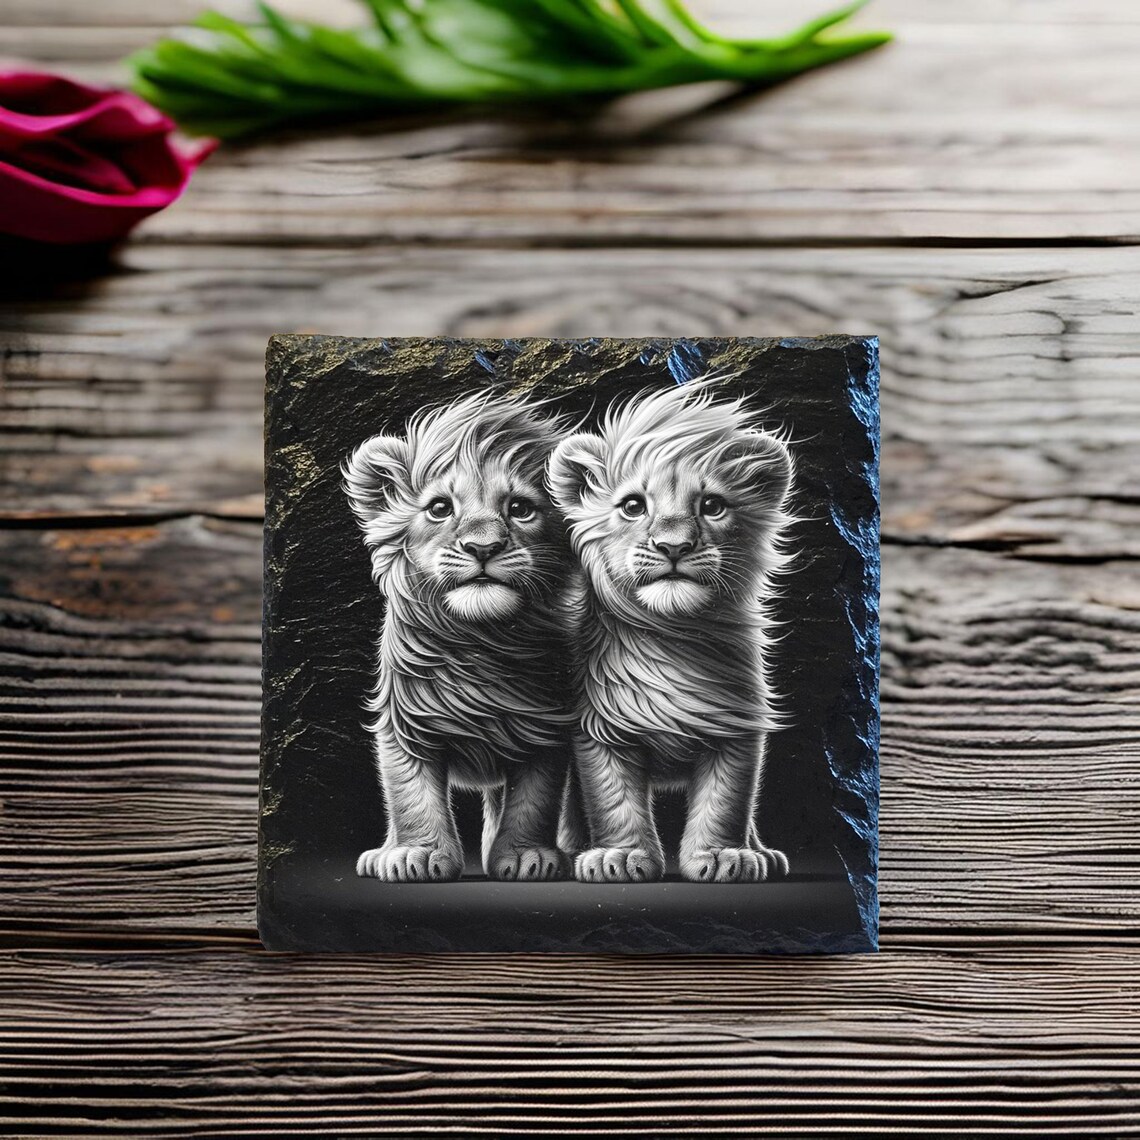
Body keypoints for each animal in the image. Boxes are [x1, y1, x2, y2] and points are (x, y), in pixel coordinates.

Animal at [343, 391, 579, 883]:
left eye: (520, 509)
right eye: (439, 508)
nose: (483, 547)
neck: (481, 645)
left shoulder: (545, 727)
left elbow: (535, 801)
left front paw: (527, 856)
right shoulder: (405, 726)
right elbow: (411, 797)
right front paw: (416, 855)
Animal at [547, 381, 794, 884]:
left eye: (712, 505)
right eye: (633, 506)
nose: (674, 546)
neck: (673, 641)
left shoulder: (736, 727)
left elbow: (727, 802)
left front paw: (723, 857)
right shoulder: (601, 730)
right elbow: (613, 800)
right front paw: (618, 858)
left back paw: (763, 853)